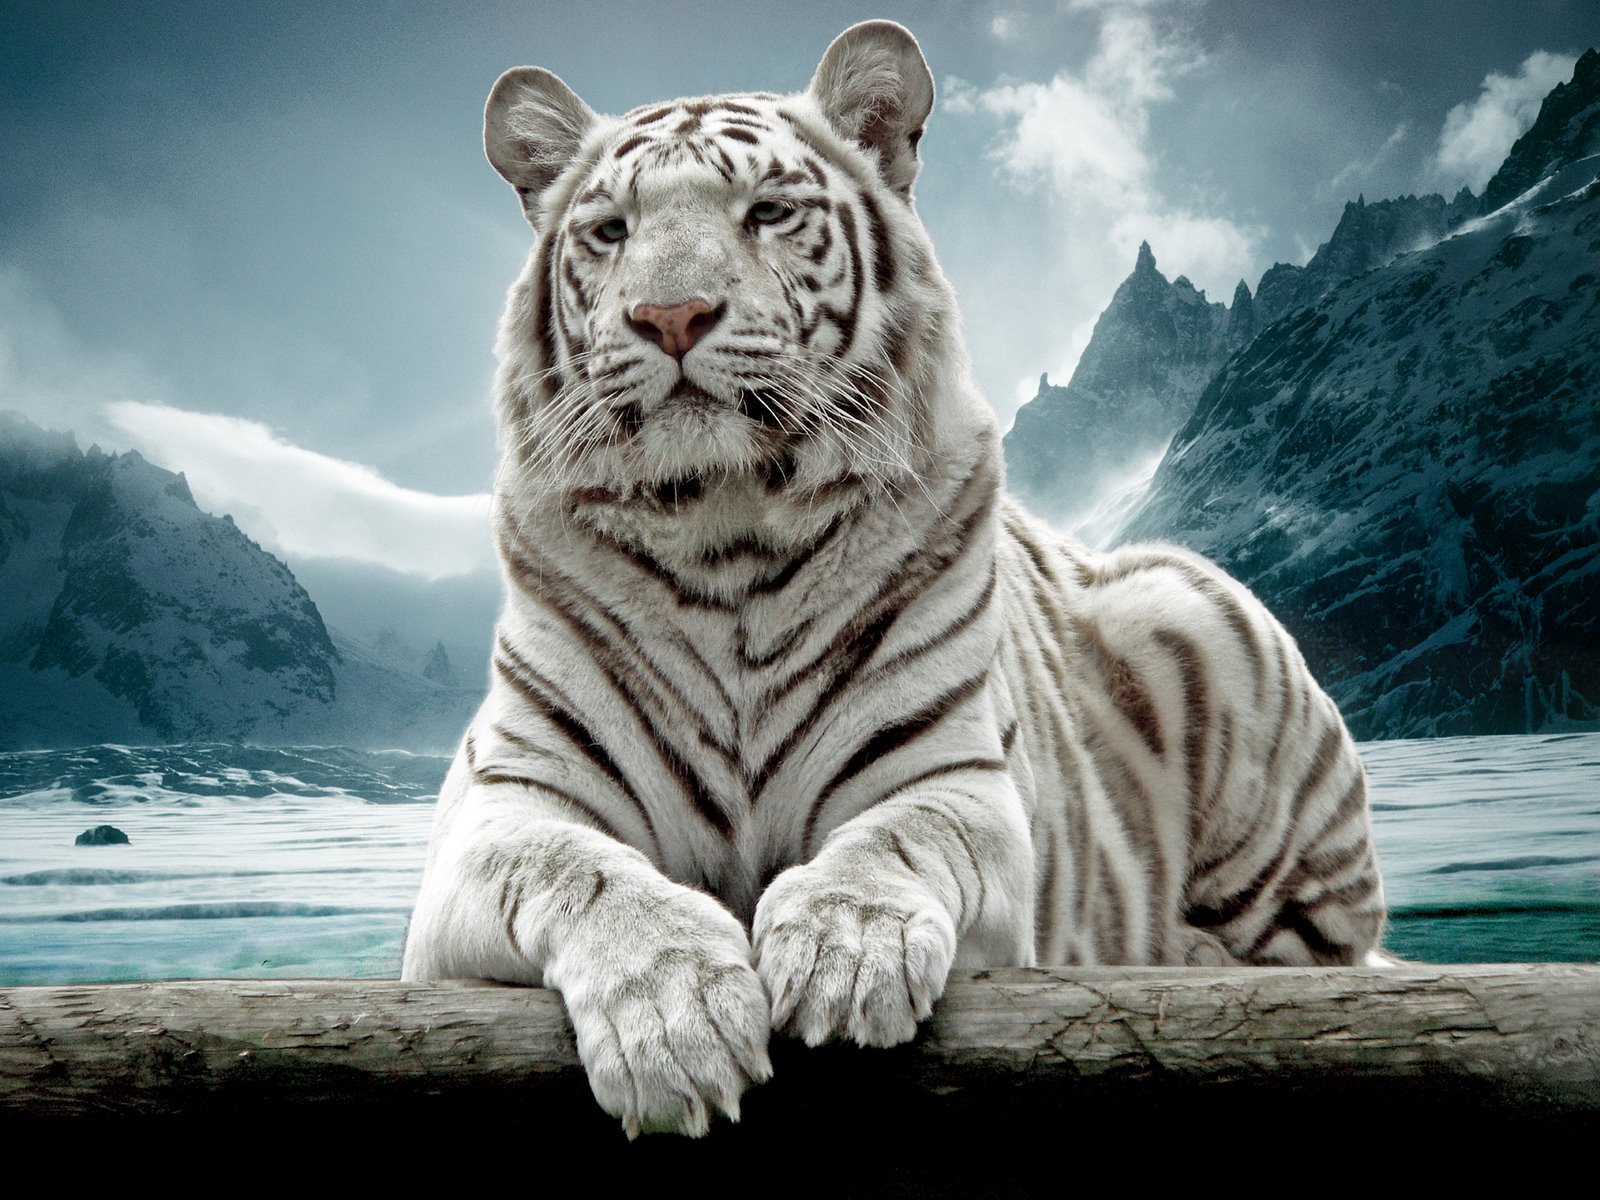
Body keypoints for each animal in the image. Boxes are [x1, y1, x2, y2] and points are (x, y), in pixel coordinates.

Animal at [400, 20, 1387, 1138]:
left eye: (767, 211)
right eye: (610, 231)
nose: (672, 315)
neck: (722, 533)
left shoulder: (950, 777)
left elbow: (896, 841)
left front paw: (842, 956)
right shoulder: (505, 810)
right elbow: (585, 874)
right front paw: (673, 1018)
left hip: (1195, 619)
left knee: (1319, 951)